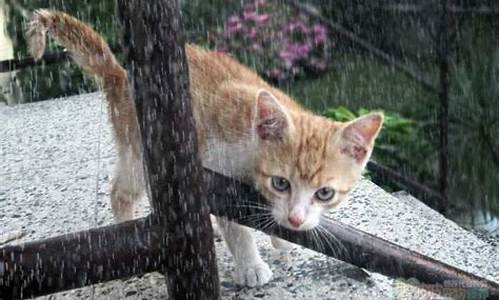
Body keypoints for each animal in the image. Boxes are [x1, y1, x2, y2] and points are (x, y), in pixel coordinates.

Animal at [27, 9, 382, 286]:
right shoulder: (217, 169)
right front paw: (251, 265)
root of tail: (120, 75)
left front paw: (281, 237)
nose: (296, 220)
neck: (250, 140)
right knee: (121, 192)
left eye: (325, 193)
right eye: (281, 182)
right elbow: (236, 225)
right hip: (141, 151)